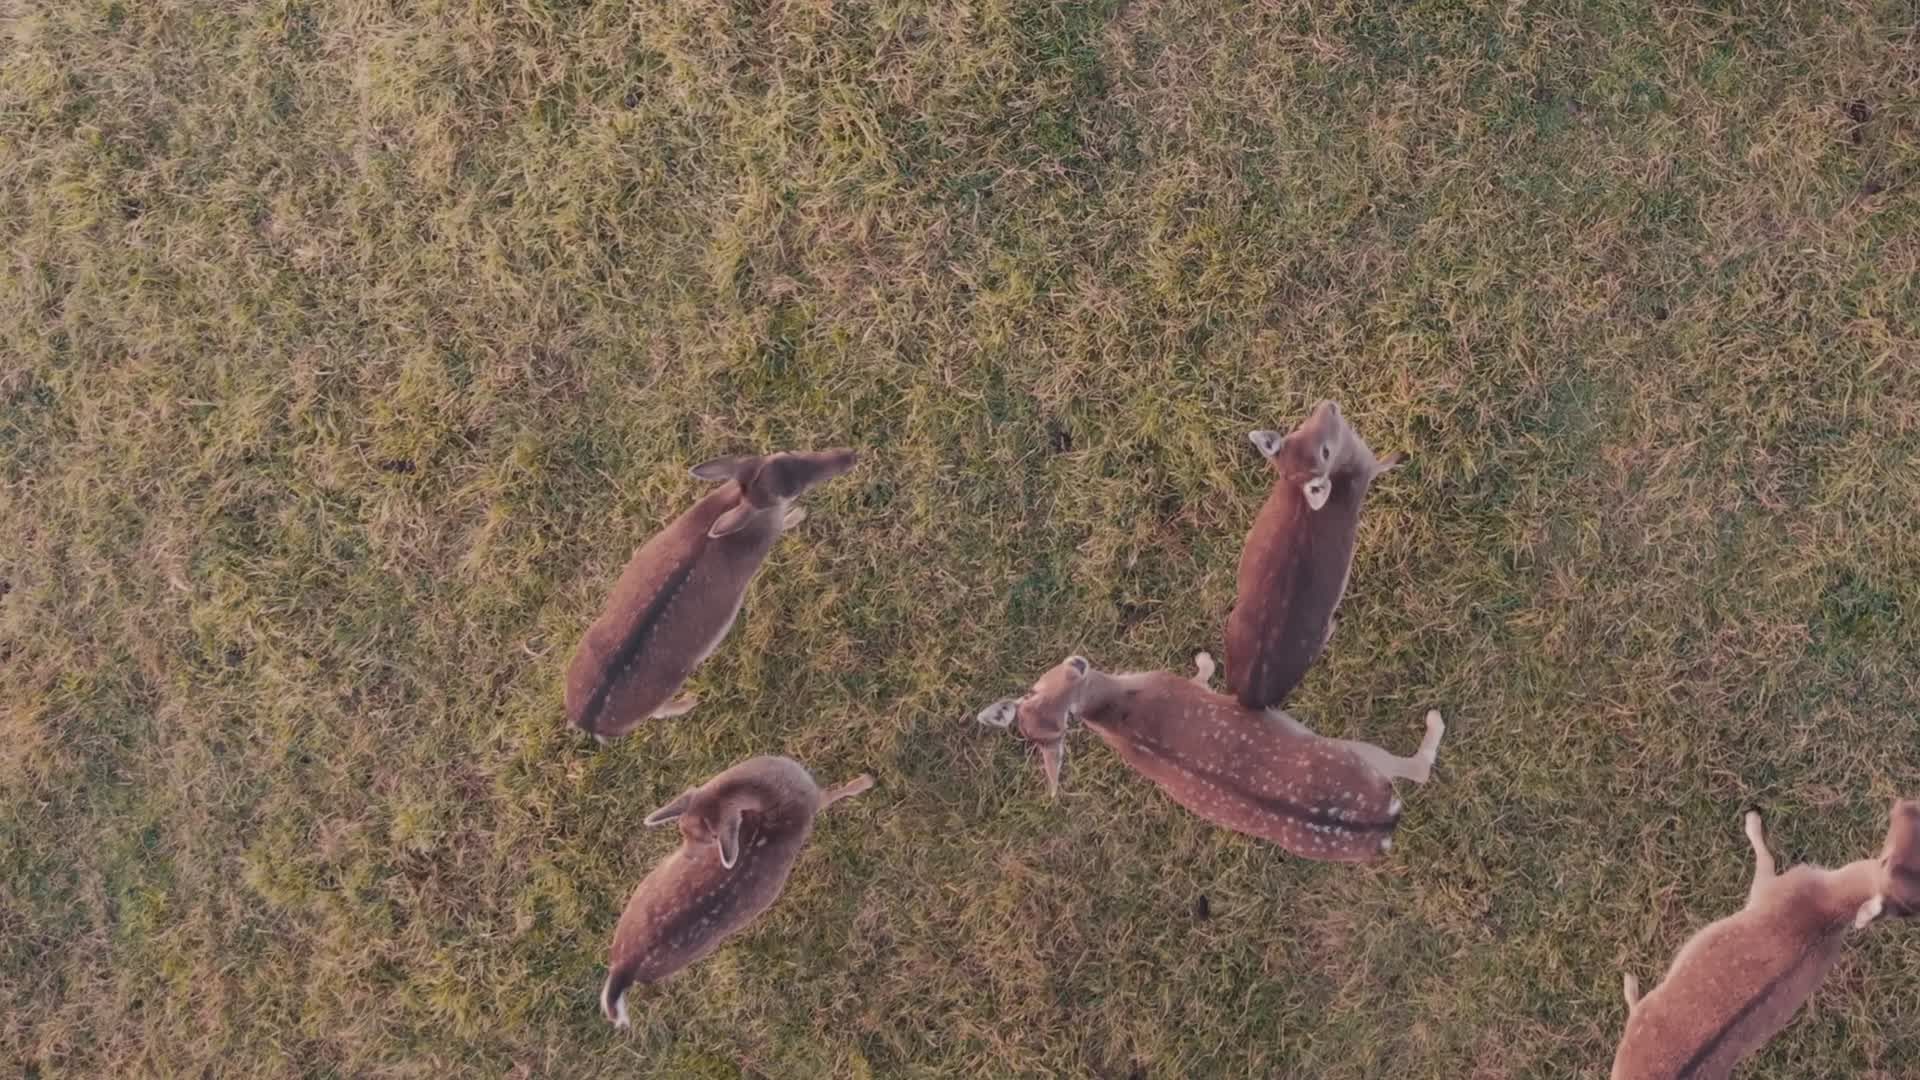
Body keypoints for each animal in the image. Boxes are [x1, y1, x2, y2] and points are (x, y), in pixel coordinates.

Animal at [565, 449, 857, 742]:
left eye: (787, 452)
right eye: (795, 491)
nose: (849, 457)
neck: (736, 503)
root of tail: (586, 723)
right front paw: (798, 515)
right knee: (660, 711)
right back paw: (691, 700)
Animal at [600, 755, 874, 1028]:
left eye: (684, 829)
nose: (688, 857)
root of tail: (623, 968)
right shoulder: (814, 803)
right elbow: (838, 793)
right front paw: (866, 781)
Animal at [975, 652, 1444, 863]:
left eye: (1032, 691)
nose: (1077, 663)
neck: (1111, 710)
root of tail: (1384, 822)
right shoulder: (1177, 683)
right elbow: (1200, 677)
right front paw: (1205, 660)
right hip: (1353, 753)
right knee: (1416, 770)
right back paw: (1436, 719)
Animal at [1225, 401, 1403, 710]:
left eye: (1298, 428)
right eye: (1326, 452)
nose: (1329, 406)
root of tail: (1251, 698)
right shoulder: (1368, 466)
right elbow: (1384, 464)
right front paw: (1401, 453)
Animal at [1611, 799, 1920, 1079]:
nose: (1901, 803)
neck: (1832, 908)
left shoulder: (1770, 889)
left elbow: (1766, 863)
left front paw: (1752, 820)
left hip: (1640, 1021)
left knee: (1635, 1008)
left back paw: (1630, 981)